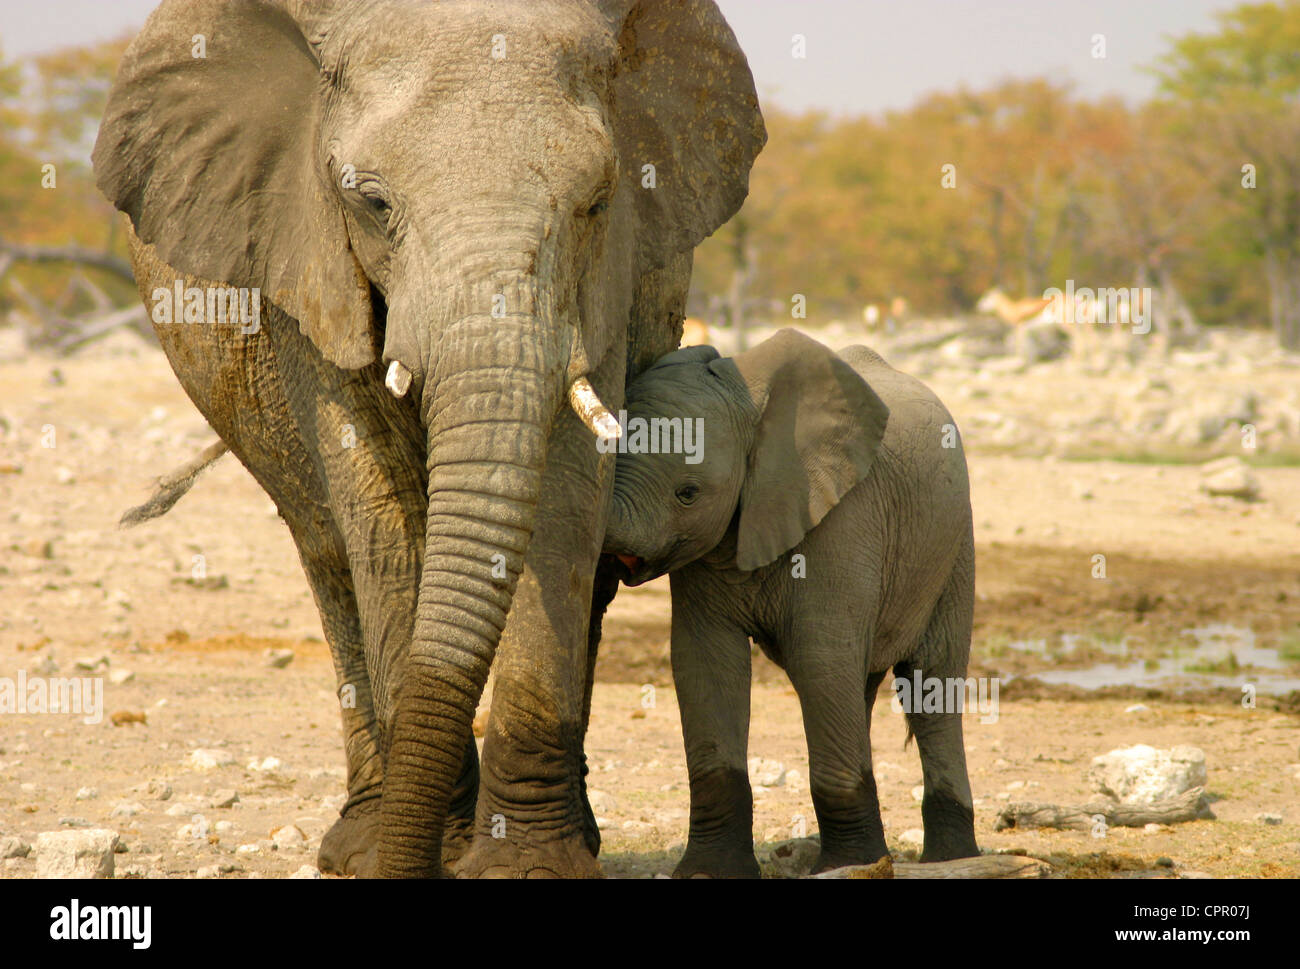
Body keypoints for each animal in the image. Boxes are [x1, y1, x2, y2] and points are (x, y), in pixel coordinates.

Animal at [92, 0, 764, 877]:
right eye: (372, 204)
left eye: (595, 202)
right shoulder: (304, 259)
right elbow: (380, 507)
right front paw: (430, 850)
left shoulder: (611, 274)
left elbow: (565, 501)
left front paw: (524, 865)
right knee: (329, 555)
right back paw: (355, 842)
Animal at [602, 329, 980, 877]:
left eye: (688, 494)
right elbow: (706, 663)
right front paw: (709, 871)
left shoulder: (843, 516)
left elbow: (819, 659)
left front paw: (849, 865)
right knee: (859, 687)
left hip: (954, 545)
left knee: (932, 687)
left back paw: (951, 859)